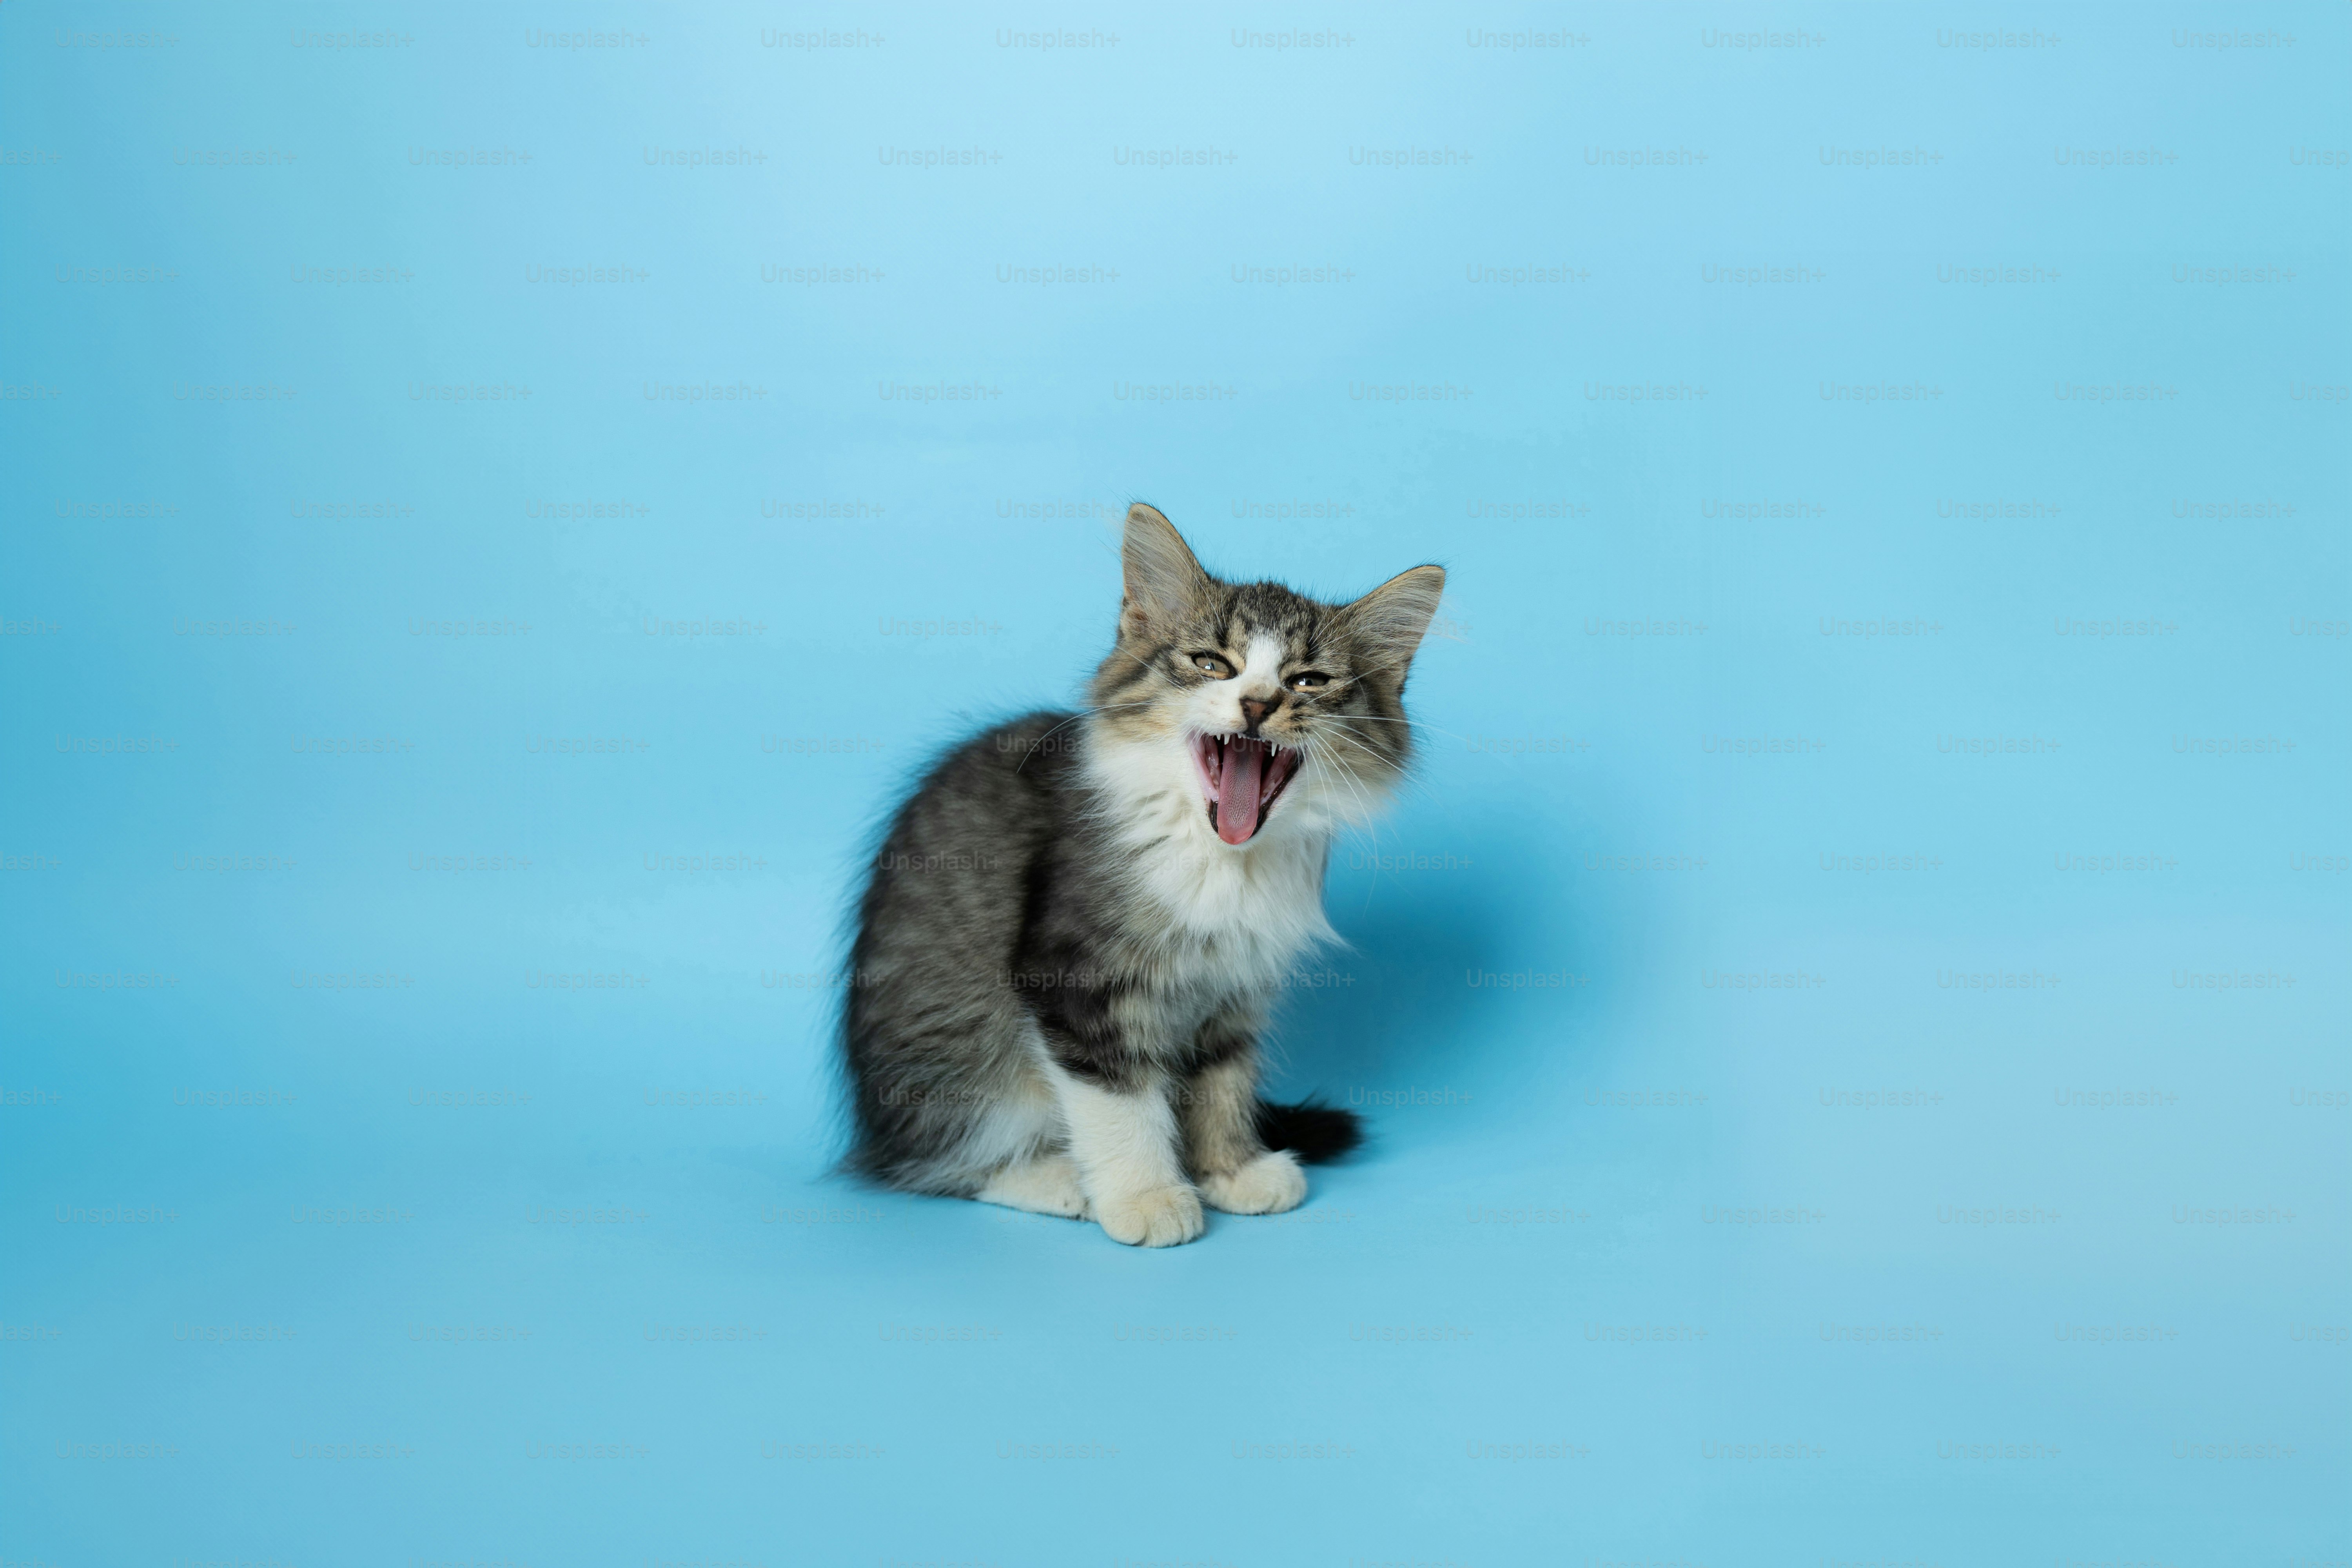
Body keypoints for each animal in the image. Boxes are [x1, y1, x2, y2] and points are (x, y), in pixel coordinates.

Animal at [837, 505, 1439, 1250]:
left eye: (1308, 681)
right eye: (1213, 664)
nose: (1258, 704)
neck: (1220, 858)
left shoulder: (1234, 987)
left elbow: (1223, 1081)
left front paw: (1231, 1170)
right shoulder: (1078, 979)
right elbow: (1120, 1098)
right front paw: (1147, 1195)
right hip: (955, 1063)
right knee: (938, 1163)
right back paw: (1060, 1178)